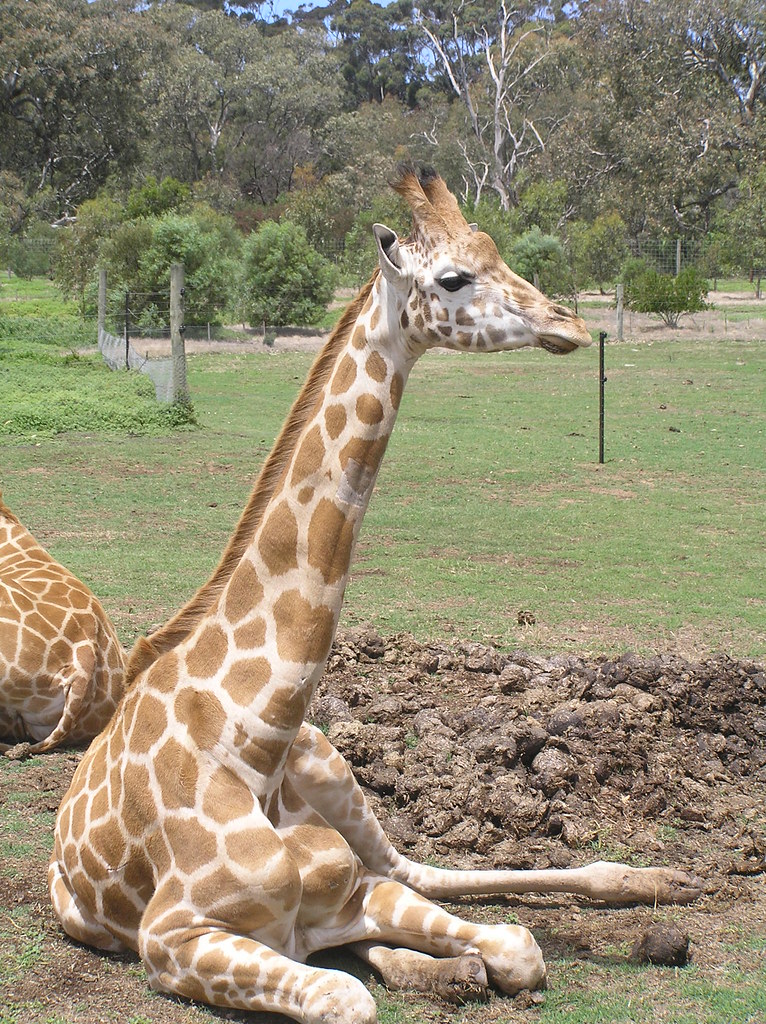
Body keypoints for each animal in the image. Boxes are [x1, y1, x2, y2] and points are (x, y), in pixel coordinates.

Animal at [50, 169, 700, 1023]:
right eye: (453, 278)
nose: (569, 321)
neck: (253, 740)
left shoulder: (349, 890)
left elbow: (518, 946)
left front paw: (462, 961)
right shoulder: (173, 938)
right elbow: (355, 995)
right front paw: (435, 969)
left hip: (337, 770)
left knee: (414, 867)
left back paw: (658, 878)